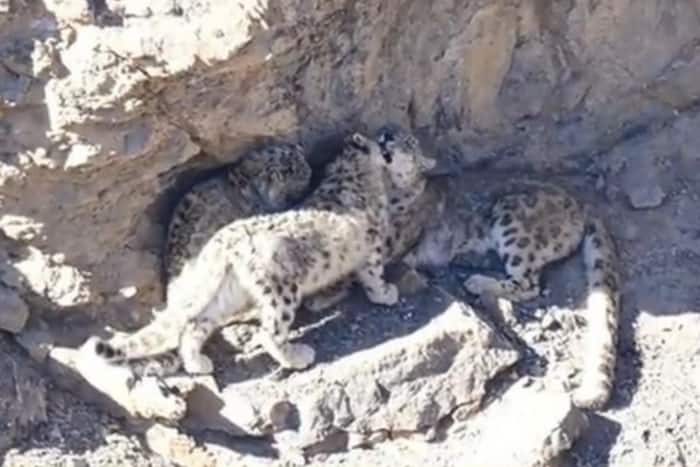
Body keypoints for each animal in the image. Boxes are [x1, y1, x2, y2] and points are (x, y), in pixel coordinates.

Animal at [88, 131, 436, 377]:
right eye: (396, 141)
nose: (386, 133)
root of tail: (222, 242)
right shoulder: (373, 247)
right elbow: (373, 274)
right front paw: (386, 293)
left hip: (227, 292)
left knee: (197, 323)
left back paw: (198, 363)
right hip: (280, 288)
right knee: (271, 333)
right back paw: (299, 356)